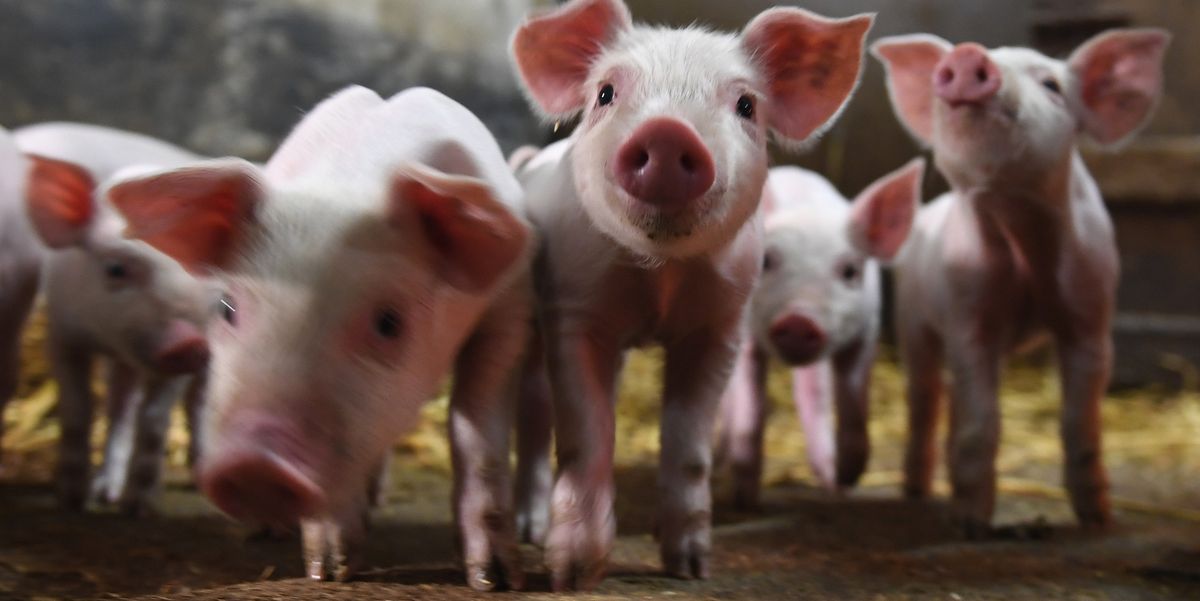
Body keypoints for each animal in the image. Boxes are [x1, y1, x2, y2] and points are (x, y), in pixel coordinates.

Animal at [19, 124, 211, 514]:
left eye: (201, 268)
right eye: (116, 269)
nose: (187, 341)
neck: (109, 338)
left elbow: (155, 420)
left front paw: (140, 508)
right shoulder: (63, 335)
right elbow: (78, 408)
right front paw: (71, 500)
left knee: (198, 402)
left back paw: (201, 479)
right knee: (121, 406)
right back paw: (105, 491)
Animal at [105, 85, 533, 589]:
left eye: (389, 322)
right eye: (226, 307)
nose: (254, 466)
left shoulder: (510, 307)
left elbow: (478, 430)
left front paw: (496, 581)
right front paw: (328, 573)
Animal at [508, 0, 873, 589]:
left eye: (746, 104)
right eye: (605, 93)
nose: (667, 133)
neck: (661, 280)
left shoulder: (720, 326)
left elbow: (689, 444)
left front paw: (690, 568)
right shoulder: (576, 310)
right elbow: (585, 435)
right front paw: (573, 575)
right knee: (537, 413)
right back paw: (530, 532)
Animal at [717, 159, 924, 509]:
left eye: (850, 270)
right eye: (766, 260)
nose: (799, 320)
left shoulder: (866, 333)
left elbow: (852, 405)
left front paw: (848, 479)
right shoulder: (745, 337)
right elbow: (751, 409)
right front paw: (745, 498)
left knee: (812, 394)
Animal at [871, 29, 1170, 534]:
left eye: (1051, 85)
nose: (967, 55)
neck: (1017, 224)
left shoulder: (1091, 314)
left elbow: (1080, 422)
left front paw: (1098, 520)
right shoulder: (967, 313)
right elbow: (982, 423)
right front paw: (970, 525)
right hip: (912, 318)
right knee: (925, 395)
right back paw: (916, 490)